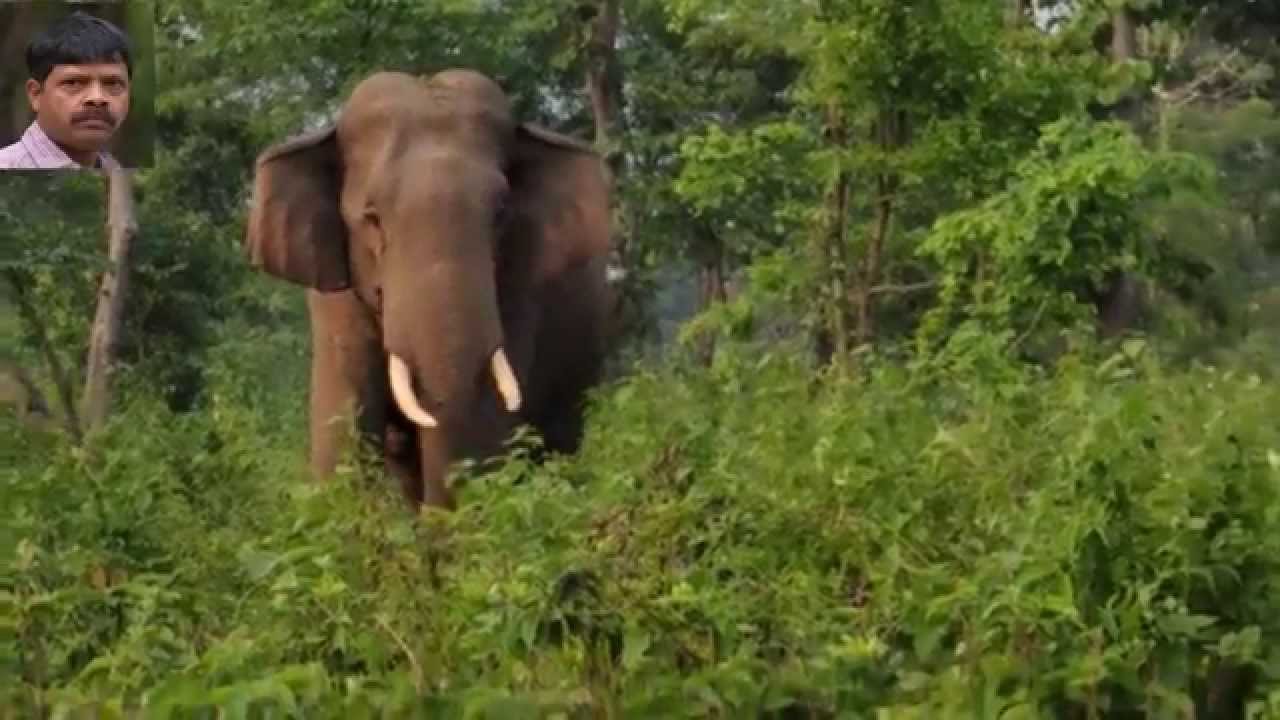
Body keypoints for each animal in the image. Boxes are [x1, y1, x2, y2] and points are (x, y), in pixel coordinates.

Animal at [243, 69, 616, 510]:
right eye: (372, 218)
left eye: (500, 214)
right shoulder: (336, 300)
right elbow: (342, 426)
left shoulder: (518, 288)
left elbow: (484, 420)